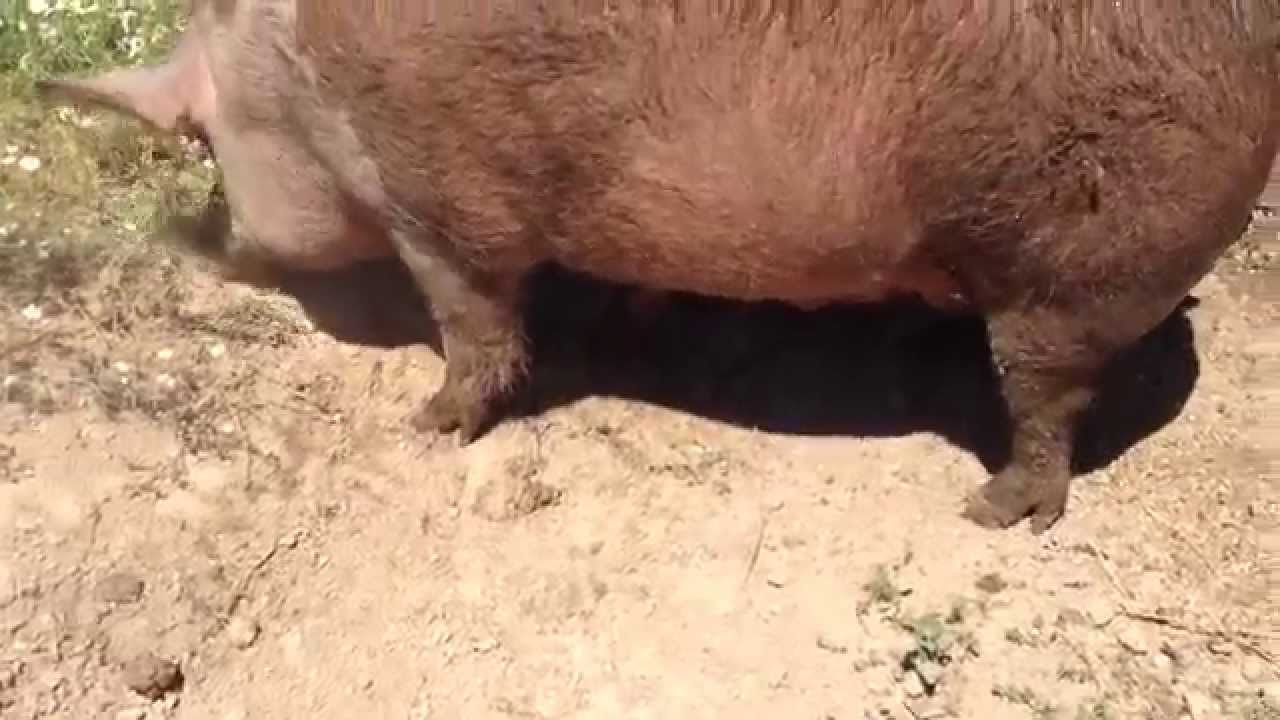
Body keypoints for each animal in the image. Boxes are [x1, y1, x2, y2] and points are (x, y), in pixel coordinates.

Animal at [38, 0, 1280, 534]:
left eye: (203, 141)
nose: (212, 249)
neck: (298, 86)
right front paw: (630, 317)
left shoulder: (441, 204)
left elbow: (474, 324)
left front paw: (425, 426)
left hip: (1074, 266)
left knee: (1046, 403)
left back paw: (987, 511)